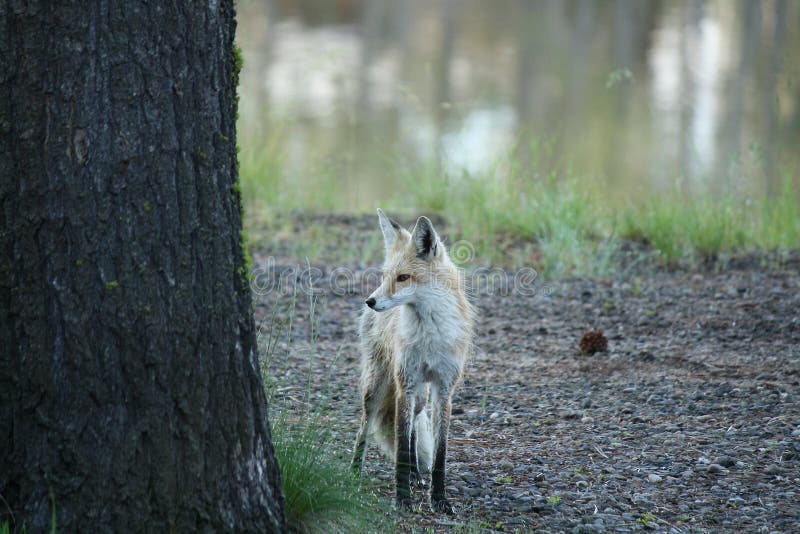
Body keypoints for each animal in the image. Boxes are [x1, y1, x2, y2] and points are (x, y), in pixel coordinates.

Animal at [351, 208, 475, 514]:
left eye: (404, 277)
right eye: (386, 276)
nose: (370, 301)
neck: (429, 335)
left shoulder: (444, 389)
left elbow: (439, 453)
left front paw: (439, 499)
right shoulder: (404, 383)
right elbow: (401, 448)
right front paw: (402, 498)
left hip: (420, 396)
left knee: (415, 428)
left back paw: (417, 474)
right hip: (378, 387)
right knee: (365, 427)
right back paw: (354, 471)